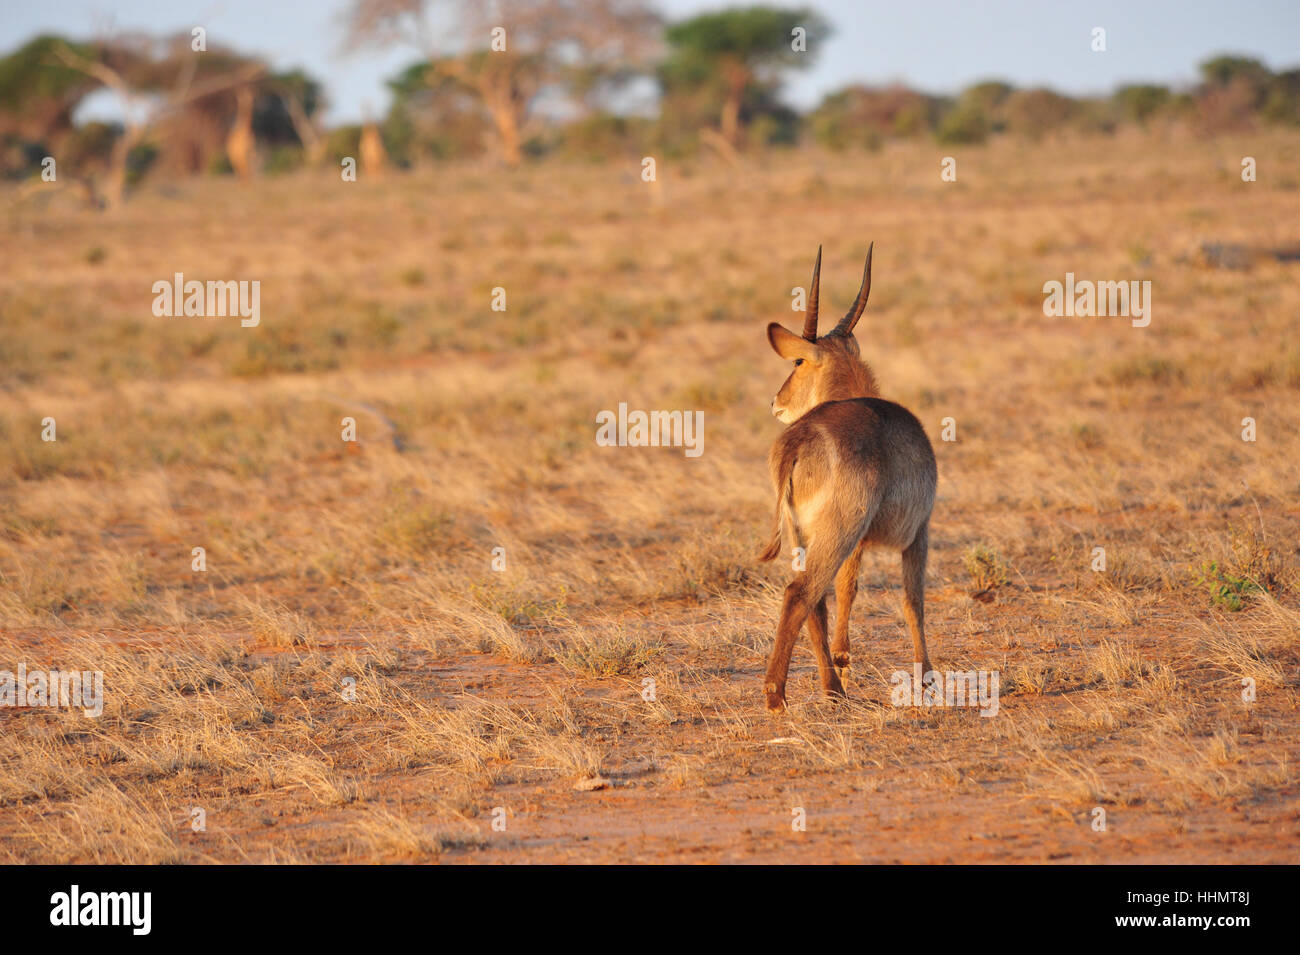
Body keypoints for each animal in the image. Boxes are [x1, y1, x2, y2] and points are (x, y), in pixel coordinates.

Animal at [758, 244, 937, 712]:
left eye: (798, 360)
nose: (775, 402)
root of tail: (798, 440)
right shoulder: (919, 530)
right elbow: (911, 600)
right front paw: (926, 677)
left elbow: (849, 589)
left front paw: (841, 660)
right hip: (839, 530)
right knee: (799, 593)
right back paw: (778, 695)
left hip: (807, 534)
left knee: (813, 600)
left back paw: (832, 690)